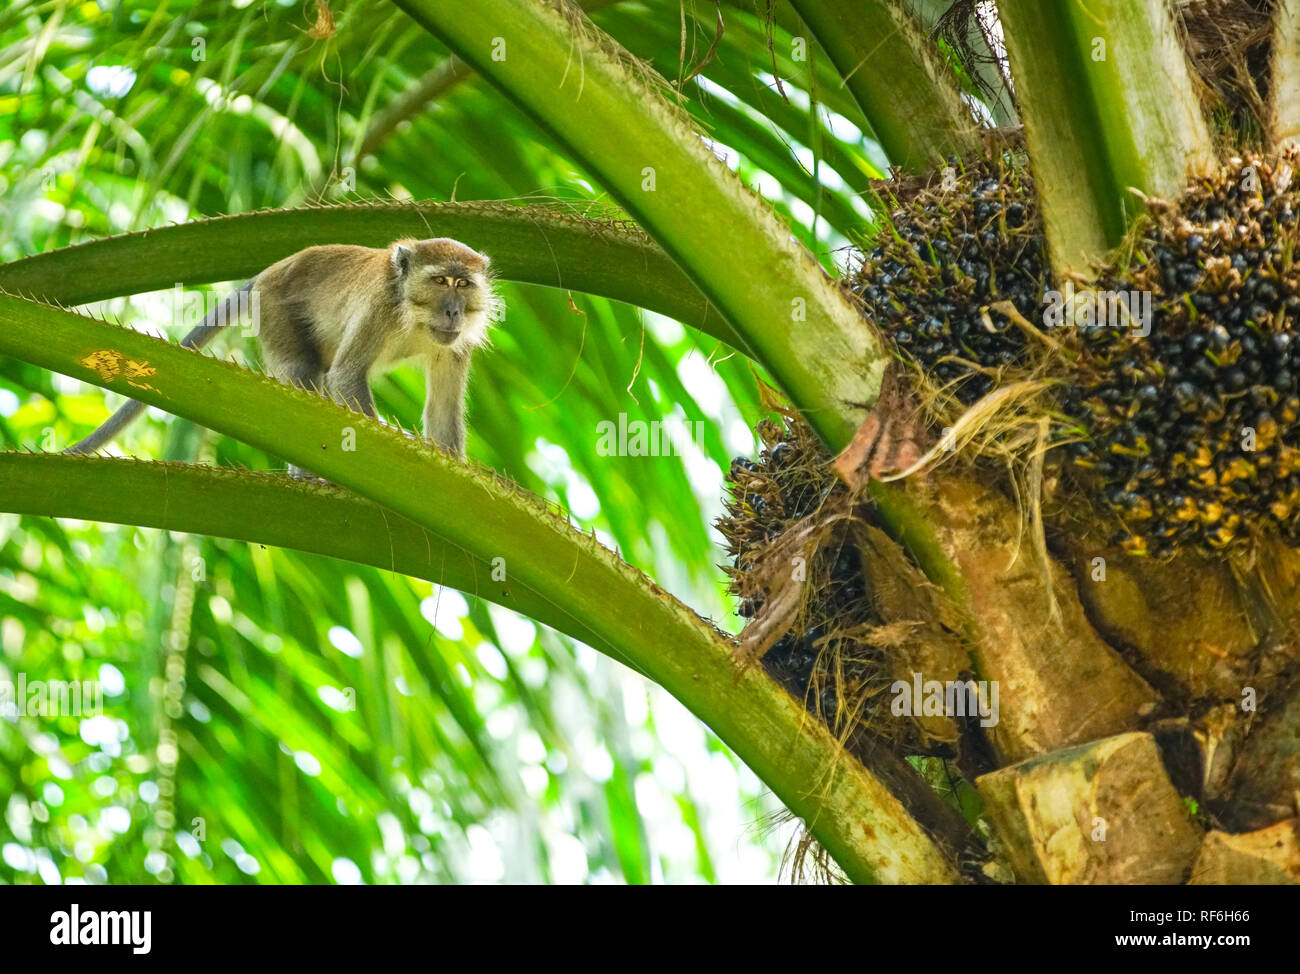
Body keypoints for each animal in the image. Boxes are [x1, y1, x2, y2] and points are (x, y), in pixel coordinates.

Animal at [66, 238, 502, 474]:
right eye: (441, 280)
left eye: (463, 284)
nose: (453, 311)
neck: (414, 316)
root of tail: (269, 271)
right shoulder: (379, 307)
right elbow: (346, 376)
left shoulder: (458, 341)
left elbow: (442, 411)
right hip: (275, 308)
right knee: (304, 371)